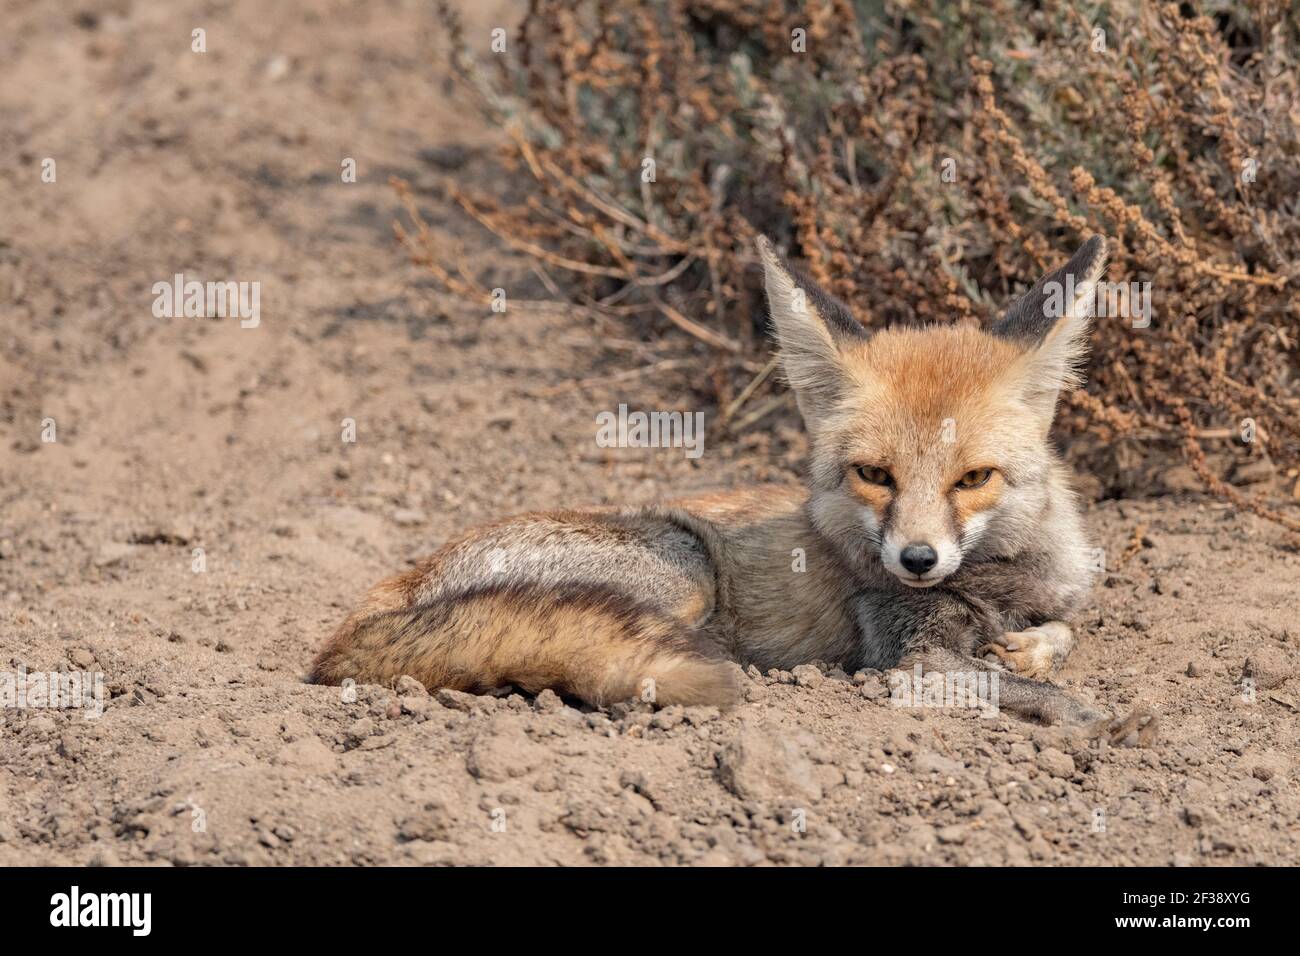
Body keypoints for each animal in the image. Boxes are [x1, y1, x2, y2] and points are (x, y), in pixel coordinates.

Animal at [310, 234, 1150, 733]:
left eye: (973, 478)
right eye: (875, 476)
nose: (916, 561)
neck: (1001, 575)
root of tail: (387, 592)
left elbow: (1060, 635)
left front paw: (1033, 647)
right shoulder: (912, 658)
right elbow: (1056, 702)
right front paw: (1100, 718)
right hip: (684, 567)